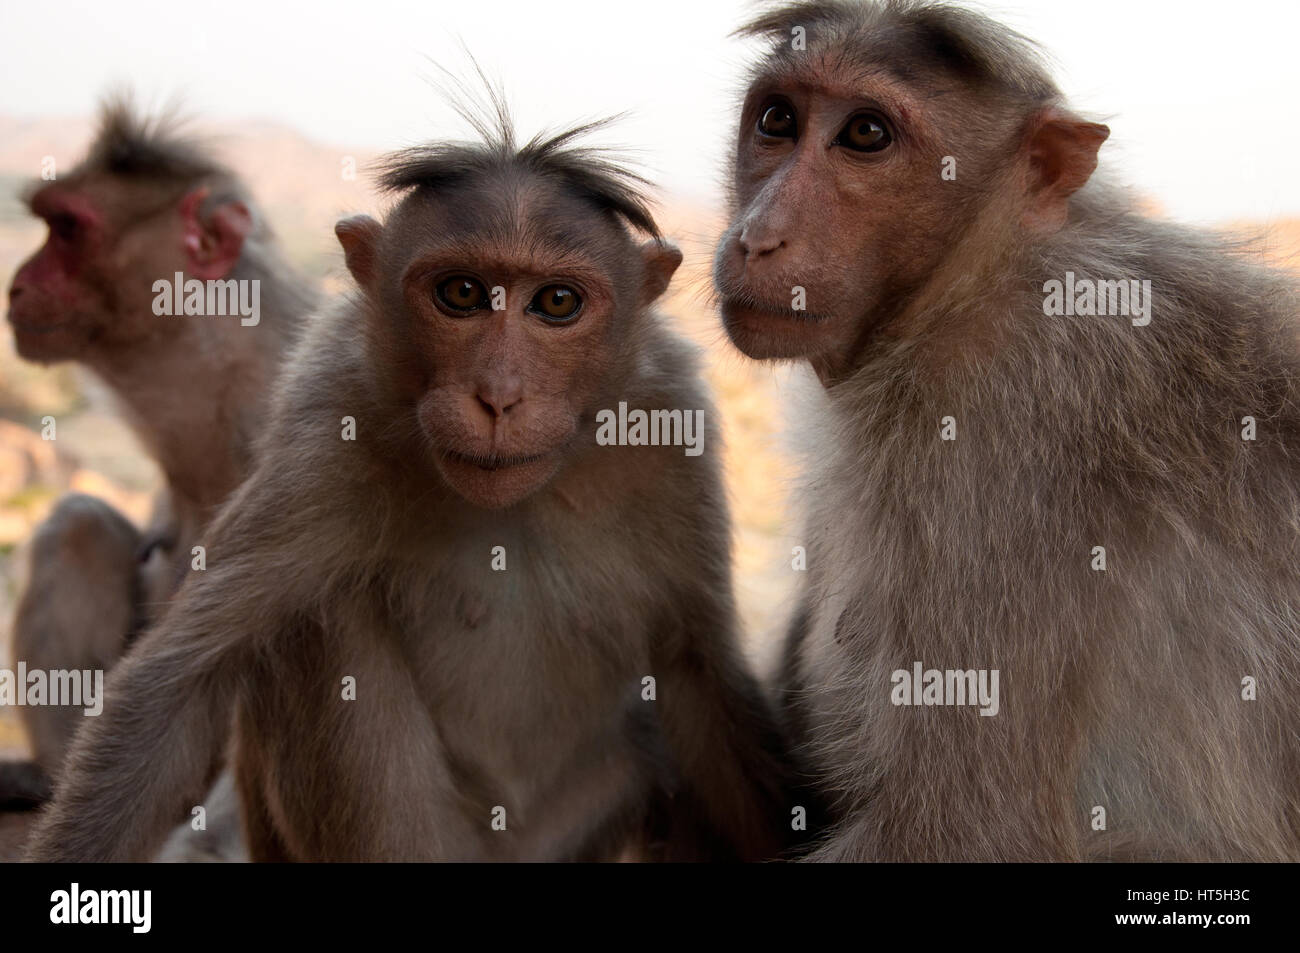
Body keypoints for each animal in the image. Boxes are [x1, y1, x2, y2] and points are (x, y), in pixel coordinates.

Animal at [714, 0, 1300, 861]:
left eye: (865, 135)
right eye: (778, 121)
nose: (756, 236)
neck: (966, 285)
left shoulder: (1003, 451)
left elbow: (967, 825)